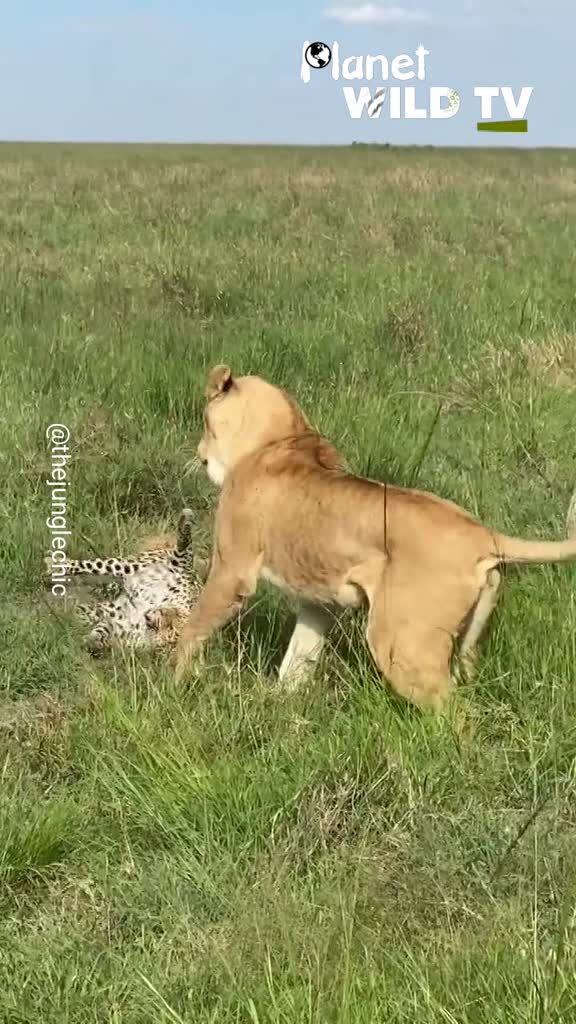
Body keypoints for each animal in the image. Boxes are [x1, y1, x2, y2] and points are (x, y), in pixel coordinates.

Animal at [175, 364, 576, 710]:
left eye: (203, 422)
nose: (197, 454)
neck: (280, 436)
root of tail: (481, 533)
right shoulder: (320, 603)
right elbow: (298, 657)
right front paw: (280, 706)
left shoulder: (232, 571)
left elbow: (192, 628)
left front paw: (176, 684)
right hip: (467, 644)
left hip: (401, 642)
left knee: (456, 714)